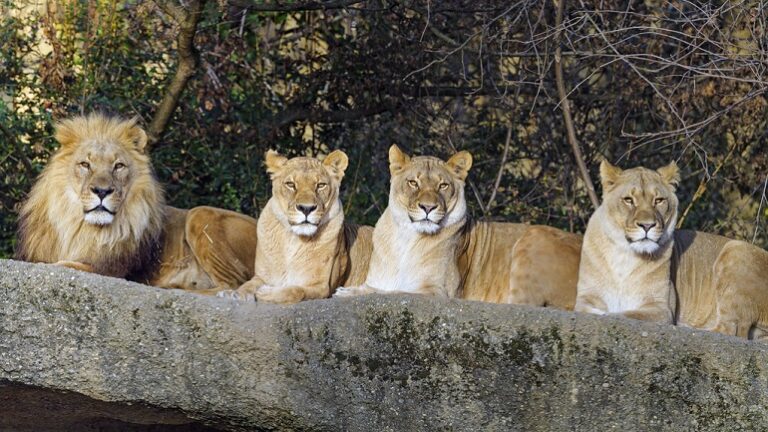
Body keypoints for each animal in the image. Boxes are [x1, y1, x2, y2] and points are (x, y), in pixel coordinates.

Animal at [15, 114, 258, 292]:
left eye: (118, 166)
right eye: (85, 164)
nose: (102, 191)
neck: (82, 227)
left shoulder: (114, 270)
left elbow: (67, 265)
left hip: (200, 214)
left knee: (232, 287)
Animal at [217, 150, 373, 304]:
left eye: (320, 185)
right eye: (290, 184)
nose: (306, 208)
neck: (292, 239)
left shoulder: (322, 287)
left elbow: (295, 291)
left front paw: (265, 292)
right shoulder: (262, 276)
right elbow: (248, 284)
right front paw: (234, 293)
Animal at [334, 145, 582, 308]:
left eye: (443, 185)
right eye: (413, 183)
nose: (428, 207)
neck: (406, 236)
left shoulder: (438, 292)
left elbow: (392, 293)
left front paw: (347, 293)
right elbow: (378, 288)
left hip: (535, 236)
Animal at [575, 160, 768, 339]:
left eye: (658, 200)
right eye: (628, 200)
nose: (647, 225)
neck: (625, 254)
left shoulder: (661, 308)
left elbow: (625, 314)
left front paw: (607, 314)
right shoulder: (586, 296)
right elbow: (582, 308)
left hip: (735, 248)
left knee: (731, 330)